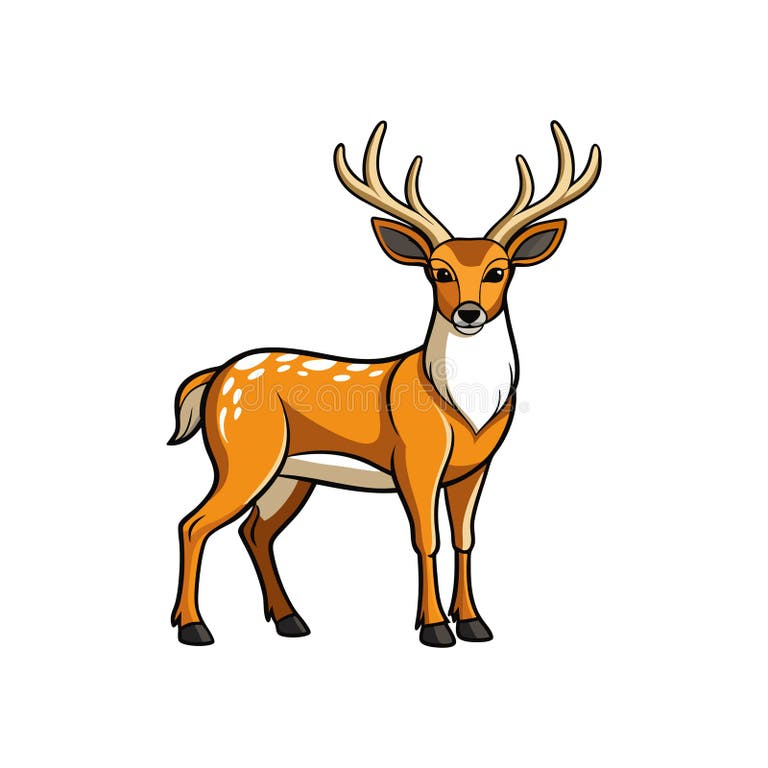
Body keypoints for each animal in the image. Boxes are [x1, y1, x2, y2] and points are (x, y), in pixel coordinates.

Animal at [168, 121, 601, 647]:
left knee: (255, 531)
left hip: (290, 473)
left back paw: (291, 621)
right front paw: (434, 628)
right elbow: (426, 539)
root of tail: (214, 377)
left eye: (499, 270)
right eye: (439, 271)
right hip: (245, 454)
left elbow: (465, 538)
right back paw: (194, 627)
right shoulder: (415, 458)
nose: (469, 313)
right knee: (193, 523)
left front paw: (474, 622)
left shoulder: (475, 467)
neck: (463, 411)